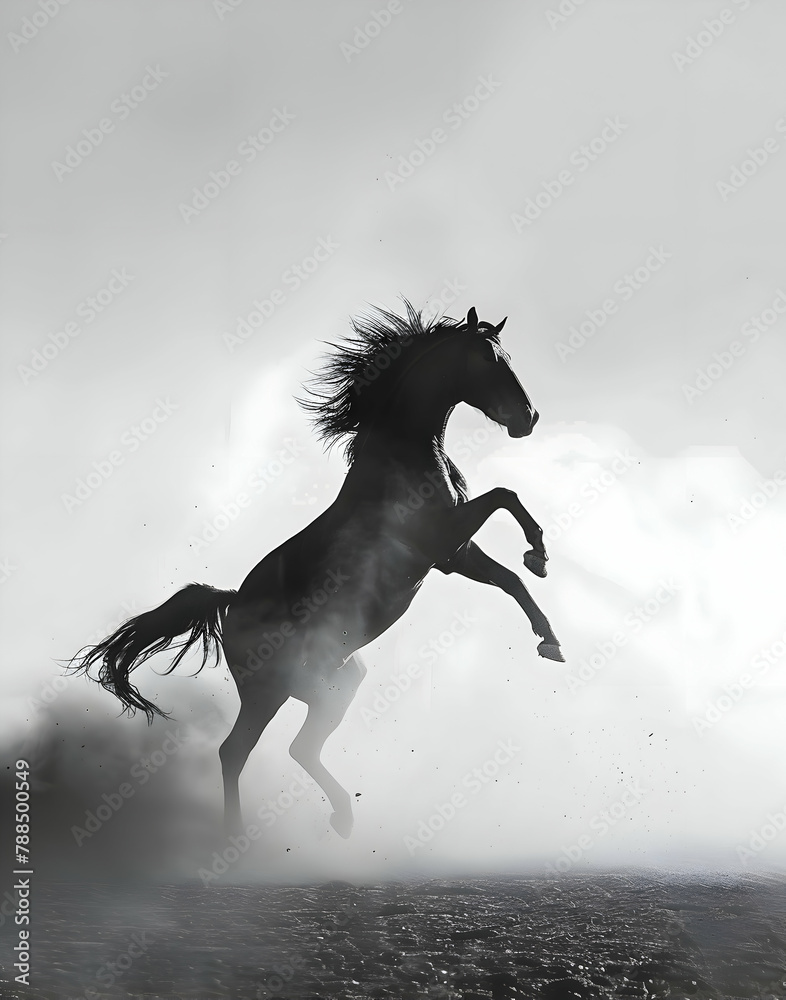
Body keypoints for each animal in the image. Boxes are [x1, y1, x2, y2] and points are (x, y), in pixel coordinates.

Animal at [68, 302, 563, 839]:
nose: (529, 418)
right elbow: (505, 495)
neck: (401, 456)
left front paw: (549, 635)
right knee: (237, 751)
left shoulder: (452, 556)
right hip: (272, 691)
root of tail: (231, 603)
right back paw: (239, 833)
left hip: (338, 682)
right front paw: (538, 553)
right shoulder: (436, 538)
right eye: (489, 359)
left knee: (297, 746)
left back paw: (341, 817)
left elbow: (511, 577)